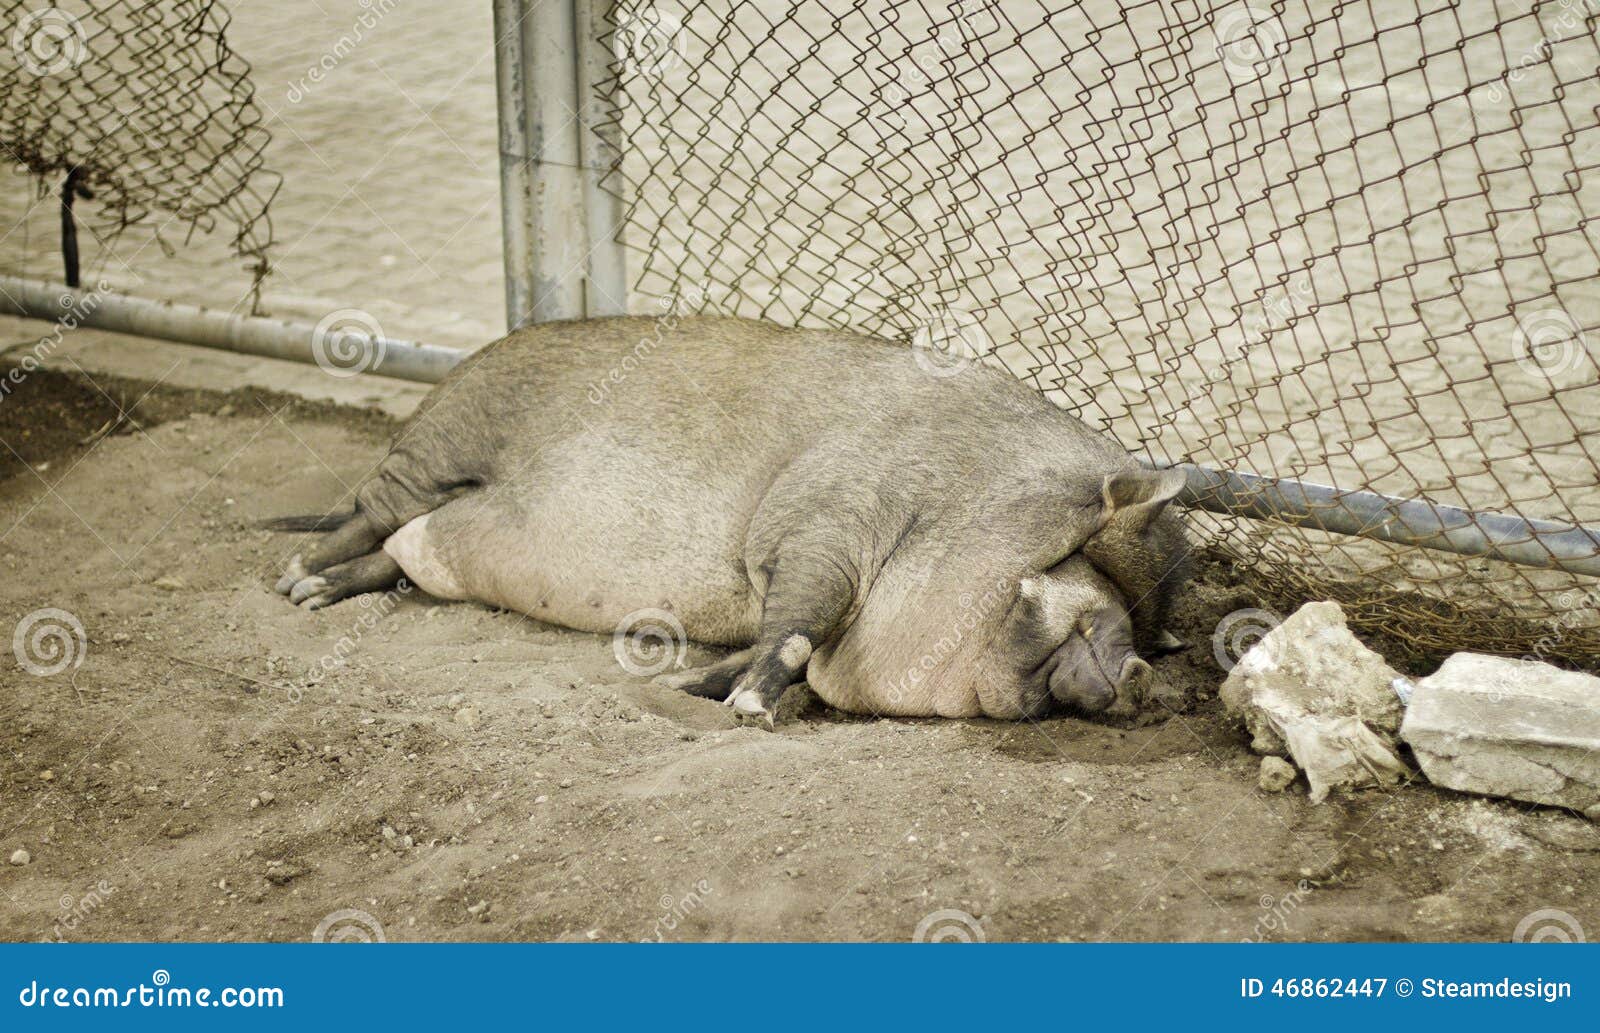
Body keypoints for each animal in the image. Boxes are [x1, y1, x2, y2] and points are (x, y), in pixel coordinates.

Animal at [267, 316, 1191, 724]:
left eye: (1140, 629)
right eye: (1096, 609)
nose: (1144, 673)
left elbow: (769, 641)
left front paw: (685, 689)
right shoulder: (820, 522)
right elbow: (796, 628)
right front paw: (747, 709)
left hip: (438, 516)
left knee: (401, 549)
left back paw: (318, 593)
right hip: (444, 437)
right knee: (371, 512)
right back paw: (295, 584)